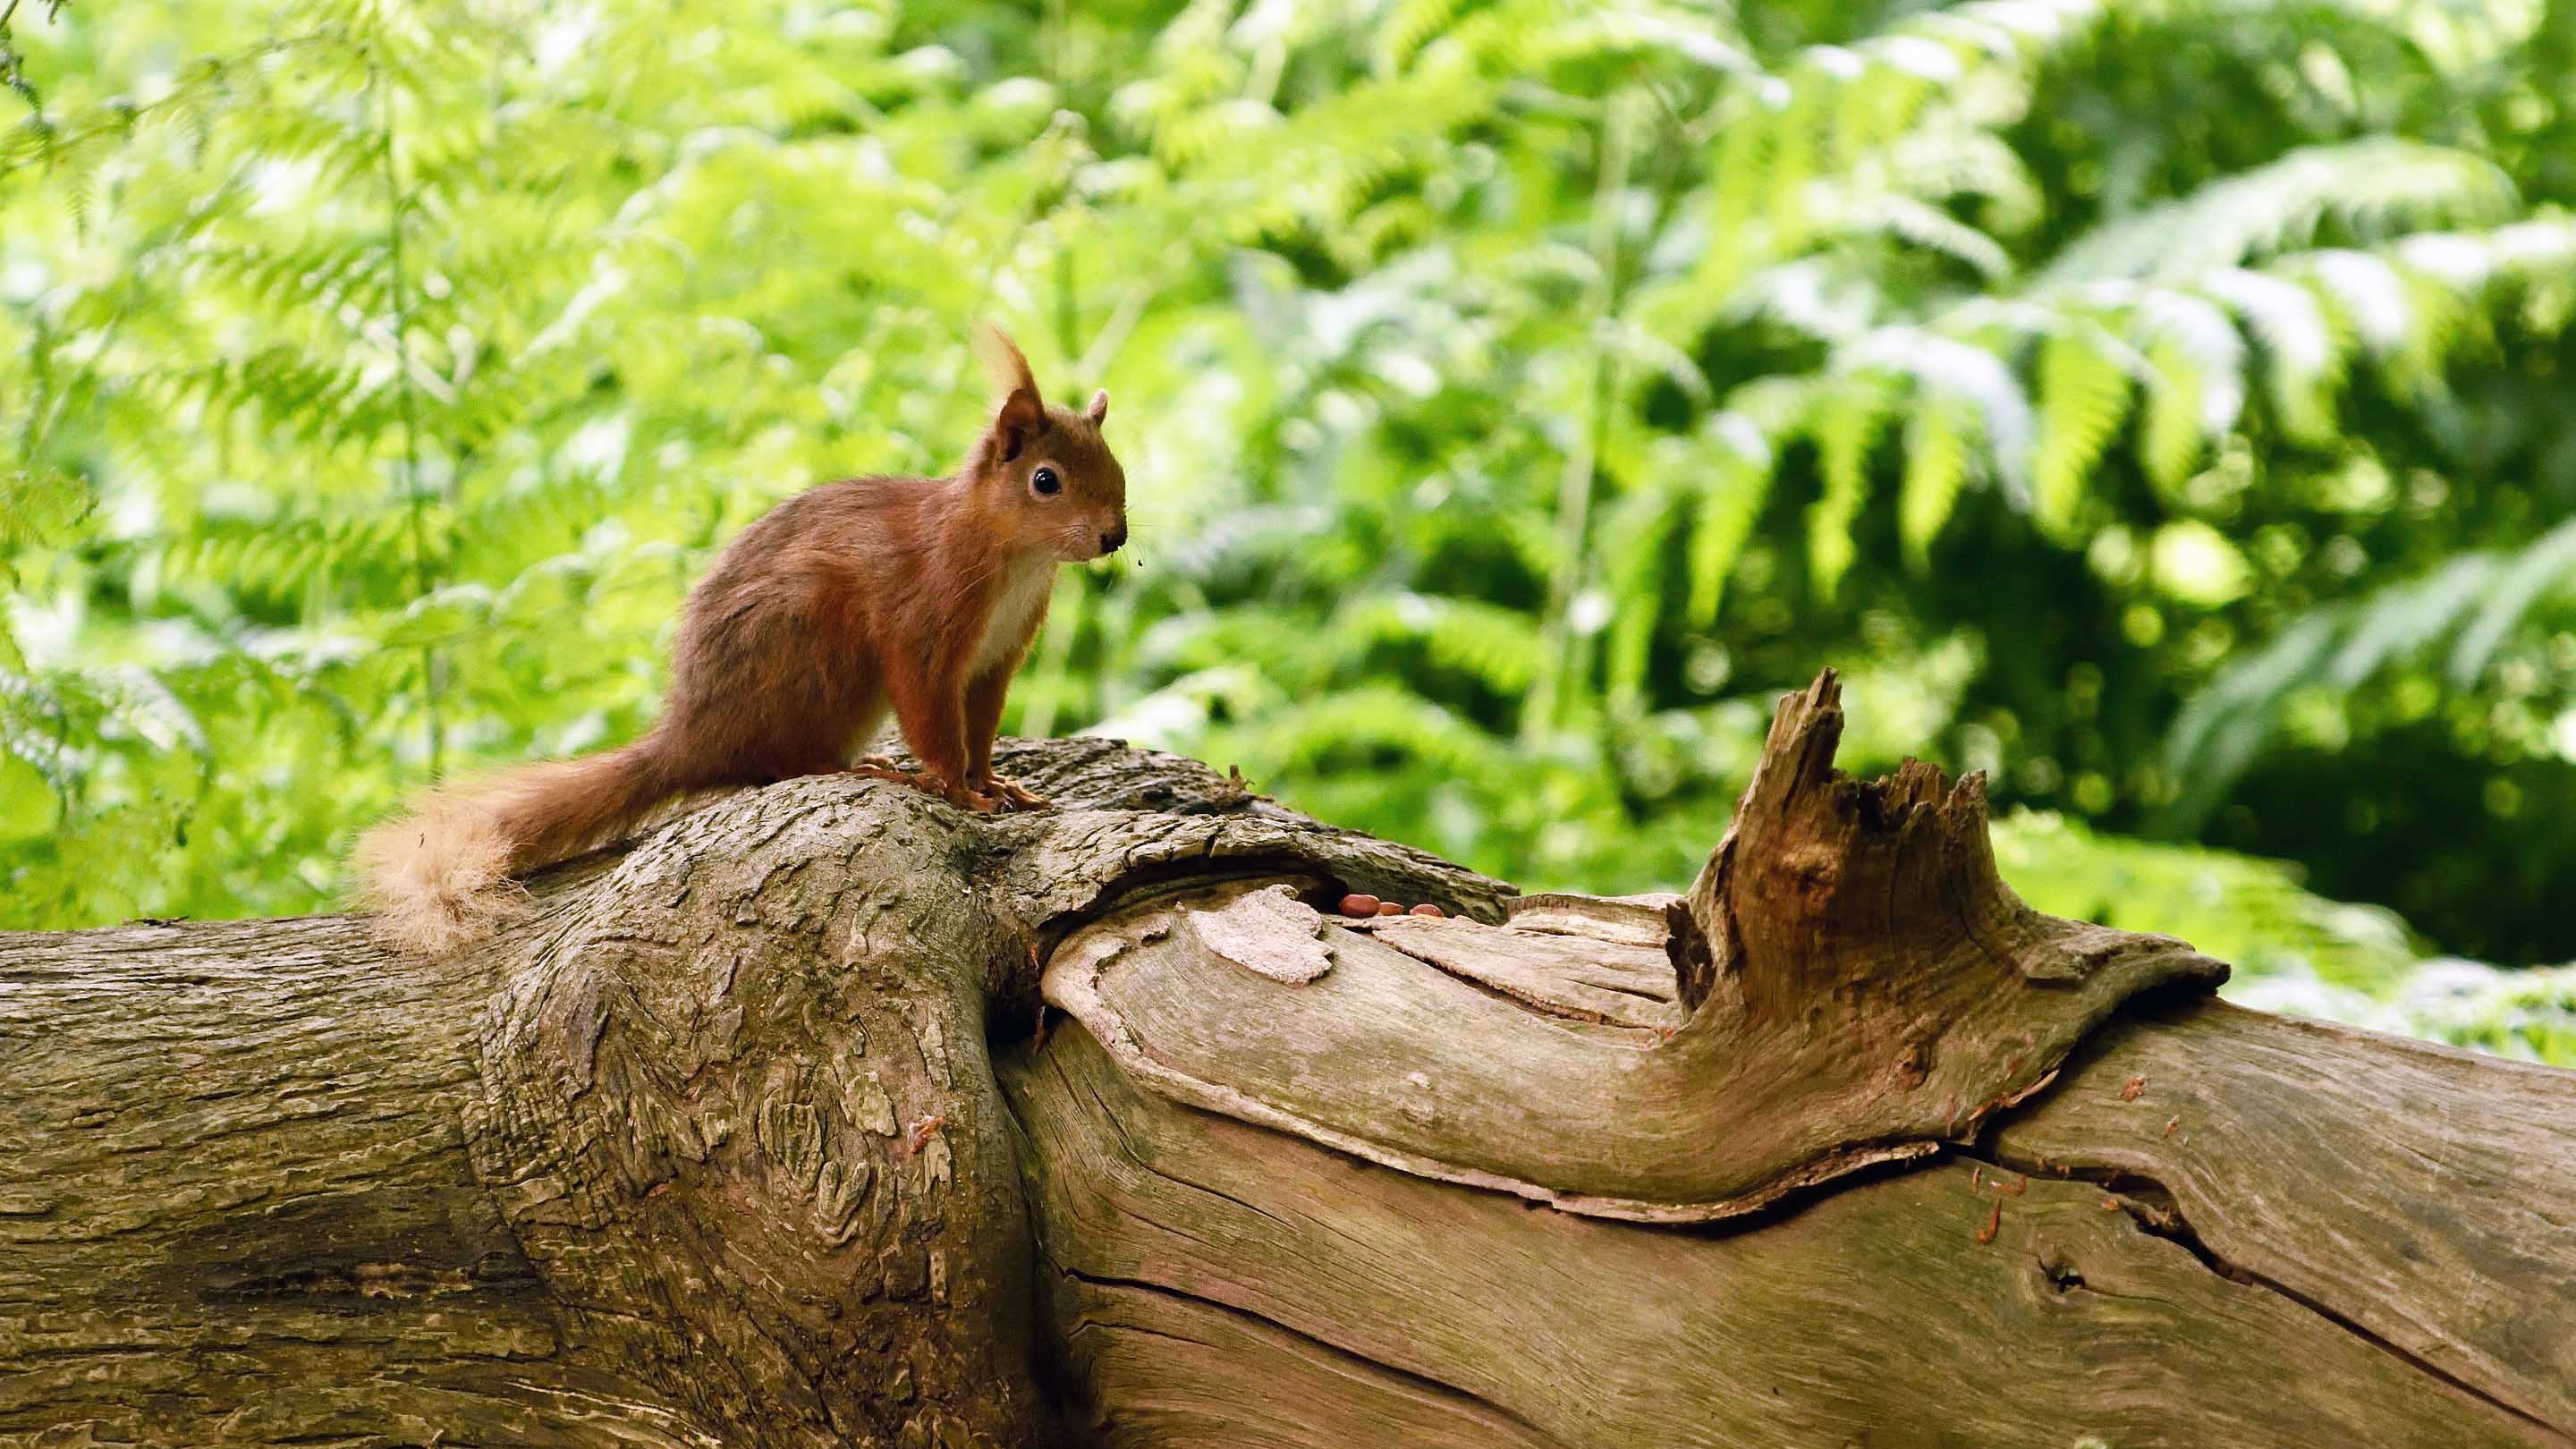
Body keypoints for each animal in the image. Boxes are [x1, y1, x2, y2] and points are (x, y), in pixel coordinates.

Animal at [355, 326, 1127, 955]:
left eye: (1117, 472)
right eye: (1046, 481)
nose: (1114, 536)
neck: (1015, 556)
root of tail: (692, 738)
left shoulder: (997, 657)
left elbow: (981, 727)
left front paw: (993, 783)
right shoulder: (924, 622)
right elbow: (931, 713)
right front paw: (959, 791)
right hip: (811, 641)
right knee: (775, 763)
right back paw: (861, 771)